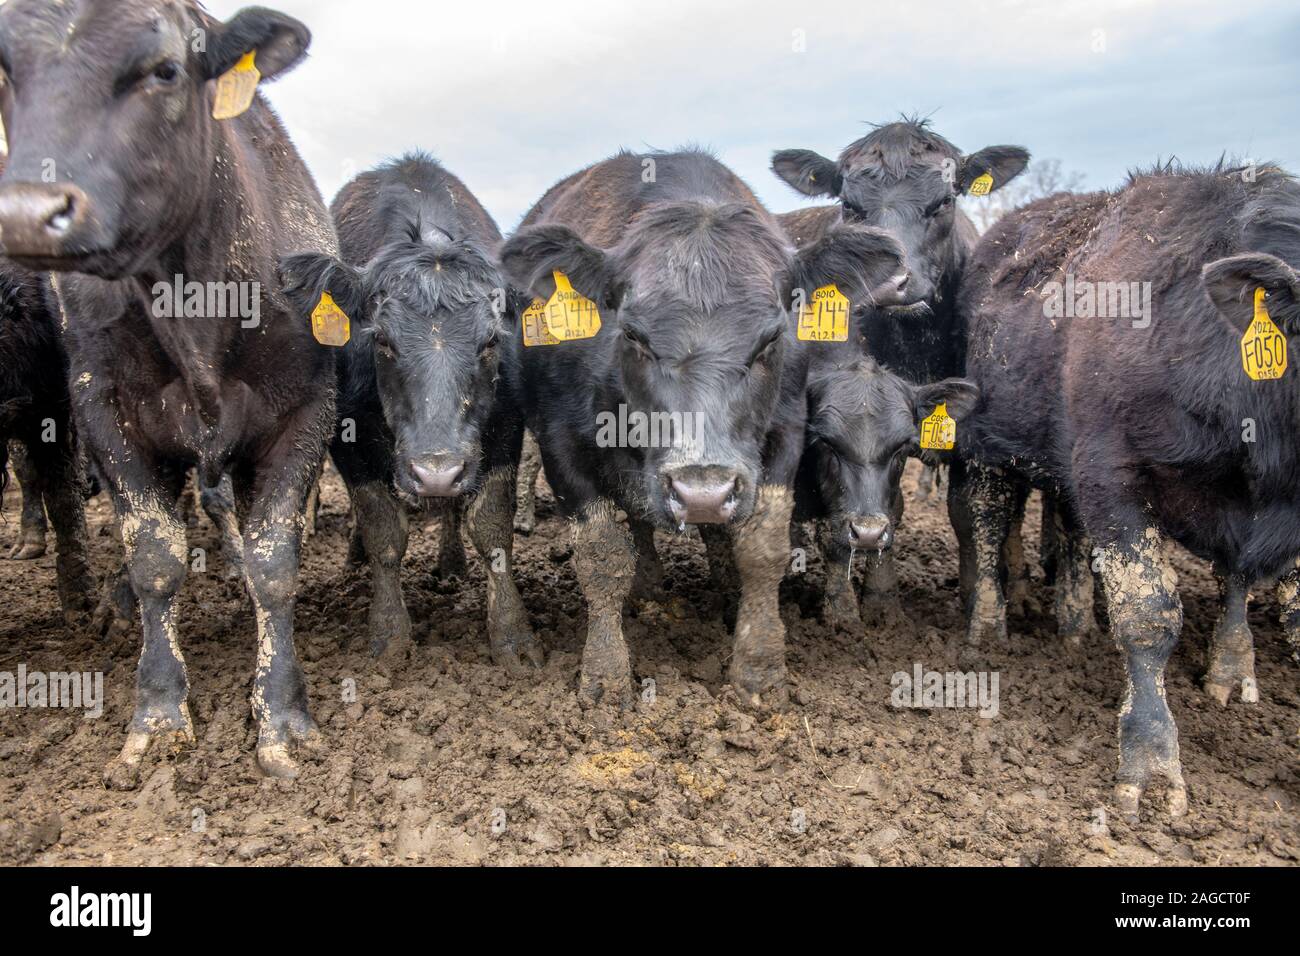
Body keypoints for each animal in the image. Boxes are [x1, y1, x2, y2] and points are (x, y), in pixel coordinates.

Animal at [0, 0, 338, 787]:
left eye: (165, 70)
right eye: (6, 67)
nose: (27, 210)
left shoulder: (306, 412)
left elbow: (275, 564)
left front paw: (281, 716)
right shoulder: (102, 411)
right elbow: (155, 556)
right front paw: (157, 714)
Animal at [279, 152, 540, 672]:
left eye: (490, 340)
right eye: (382, 339)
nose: (435, 472)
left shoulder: (504, 429)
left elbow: (492, 525)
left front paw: (512, 634)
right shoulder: (350, 438)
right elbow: (383, 529)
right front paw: (389, 631)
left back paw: (450, 563)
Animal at [500, 149, 905, 708]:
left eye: (771, 338)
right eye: (633, 334)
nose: (702, 492)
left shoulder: (784, 436)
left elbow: (761, 550)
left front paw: (758, 668)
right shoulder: (560, 443)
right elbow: (602, 558)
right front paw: (605, 675)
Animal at [772, 120, 1029, 627]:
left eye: (944, 201)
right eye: (850, 206)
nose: (893, 282)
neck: (913, 344)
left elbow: (968, 515)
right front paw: (870, 603)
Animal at [950, 161, 1300, 818]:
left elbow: (1252, 588)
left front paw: (1230, 667)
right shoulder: (1110, 475)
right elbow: (1147, 614)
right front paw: (1152, 764)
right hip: (988, 445)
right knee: (986, 522)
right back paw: (988, 630)